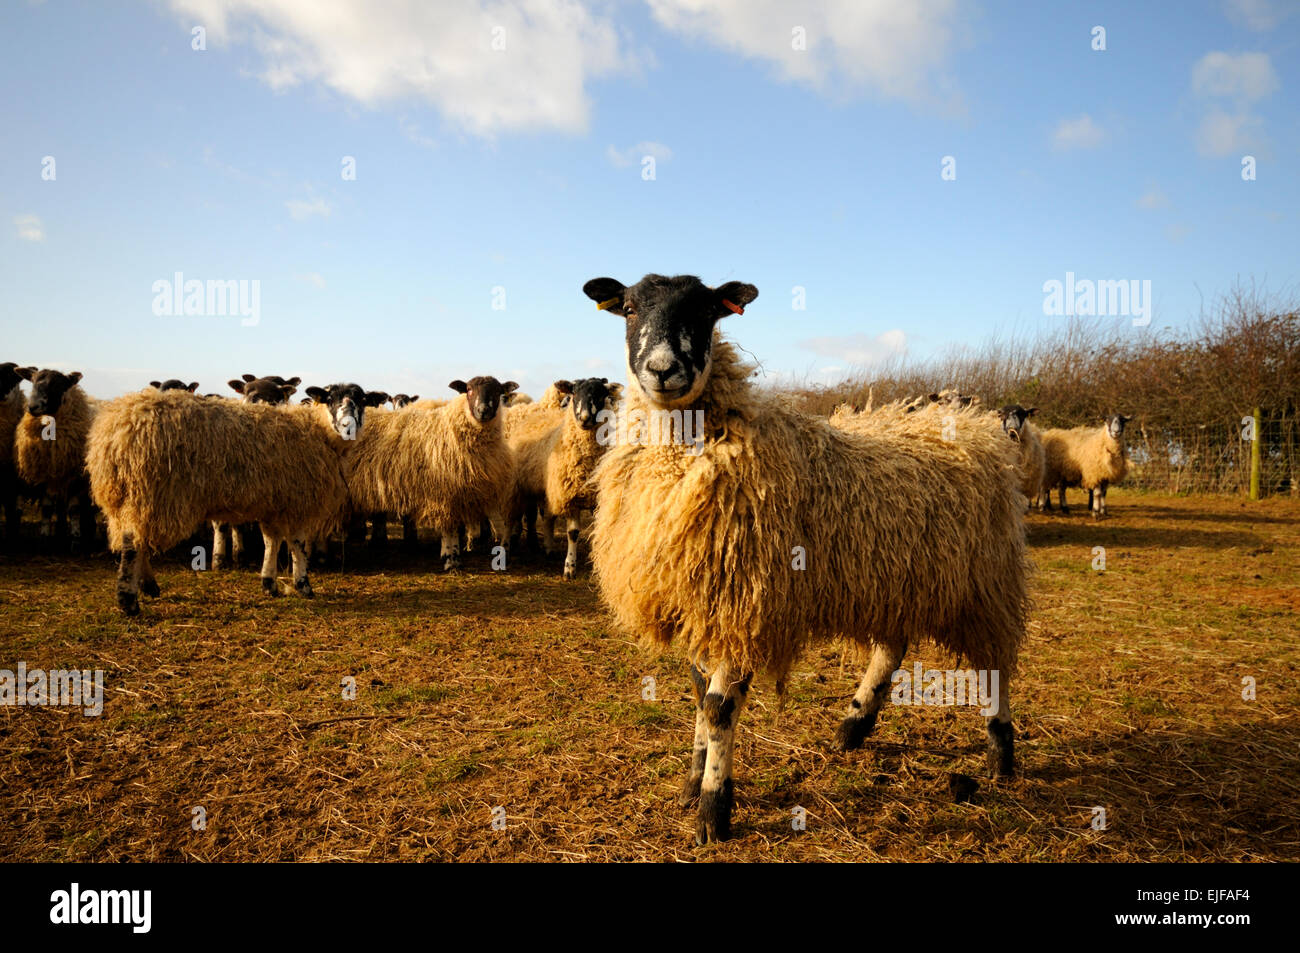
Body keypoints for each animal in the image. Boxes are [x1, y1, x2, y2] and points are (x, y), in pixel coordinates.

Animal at [13, 367, 100, 543]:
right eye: (33, 382)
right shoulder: (46, 474)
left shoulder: (75, 476)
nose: (32, 407)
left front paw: (75, 536)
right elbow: (47, 508)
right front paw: (45, 534)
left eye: (58, 385)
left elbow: (74, 509)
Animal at [87, 383, 371, 615]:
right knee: (132, 543)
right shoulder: (295, 502)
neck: (318, 432)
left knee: (137, 540)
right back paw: (129, 601)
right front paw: (303, 585)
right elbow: (297, 544)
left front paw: (269, 583)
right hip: (149, 494)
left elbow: (271, 541)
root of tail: (114, 432)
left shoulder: (273, 504)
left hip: (129, 499)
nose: (348, 426)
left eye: (361, 400)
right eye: (331, 398)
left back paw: (149, 586)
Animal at [341, 377, 516, 570]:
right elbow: (450, 528)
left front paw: (449, 554)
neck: (451, 428)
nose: (483, 411)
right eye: (469, 390)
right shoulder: (444, 493)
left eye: (498, 391)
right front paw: (451, 560)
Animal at [581, 273, 1028, 845]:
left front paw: (713, 809)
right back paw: (854, 725)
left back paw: (1000, 753)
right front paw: (692, 781)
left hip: (986, 583)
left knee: (994, 666)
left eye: (705, 311)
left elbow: (719, 708)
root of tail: (966, 420)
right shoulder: (703, 600)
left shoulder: (745, 603)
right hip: (896, 578)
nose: (662, 369)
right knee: (893, 646)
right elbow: (700, 694)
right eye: (630, 308)